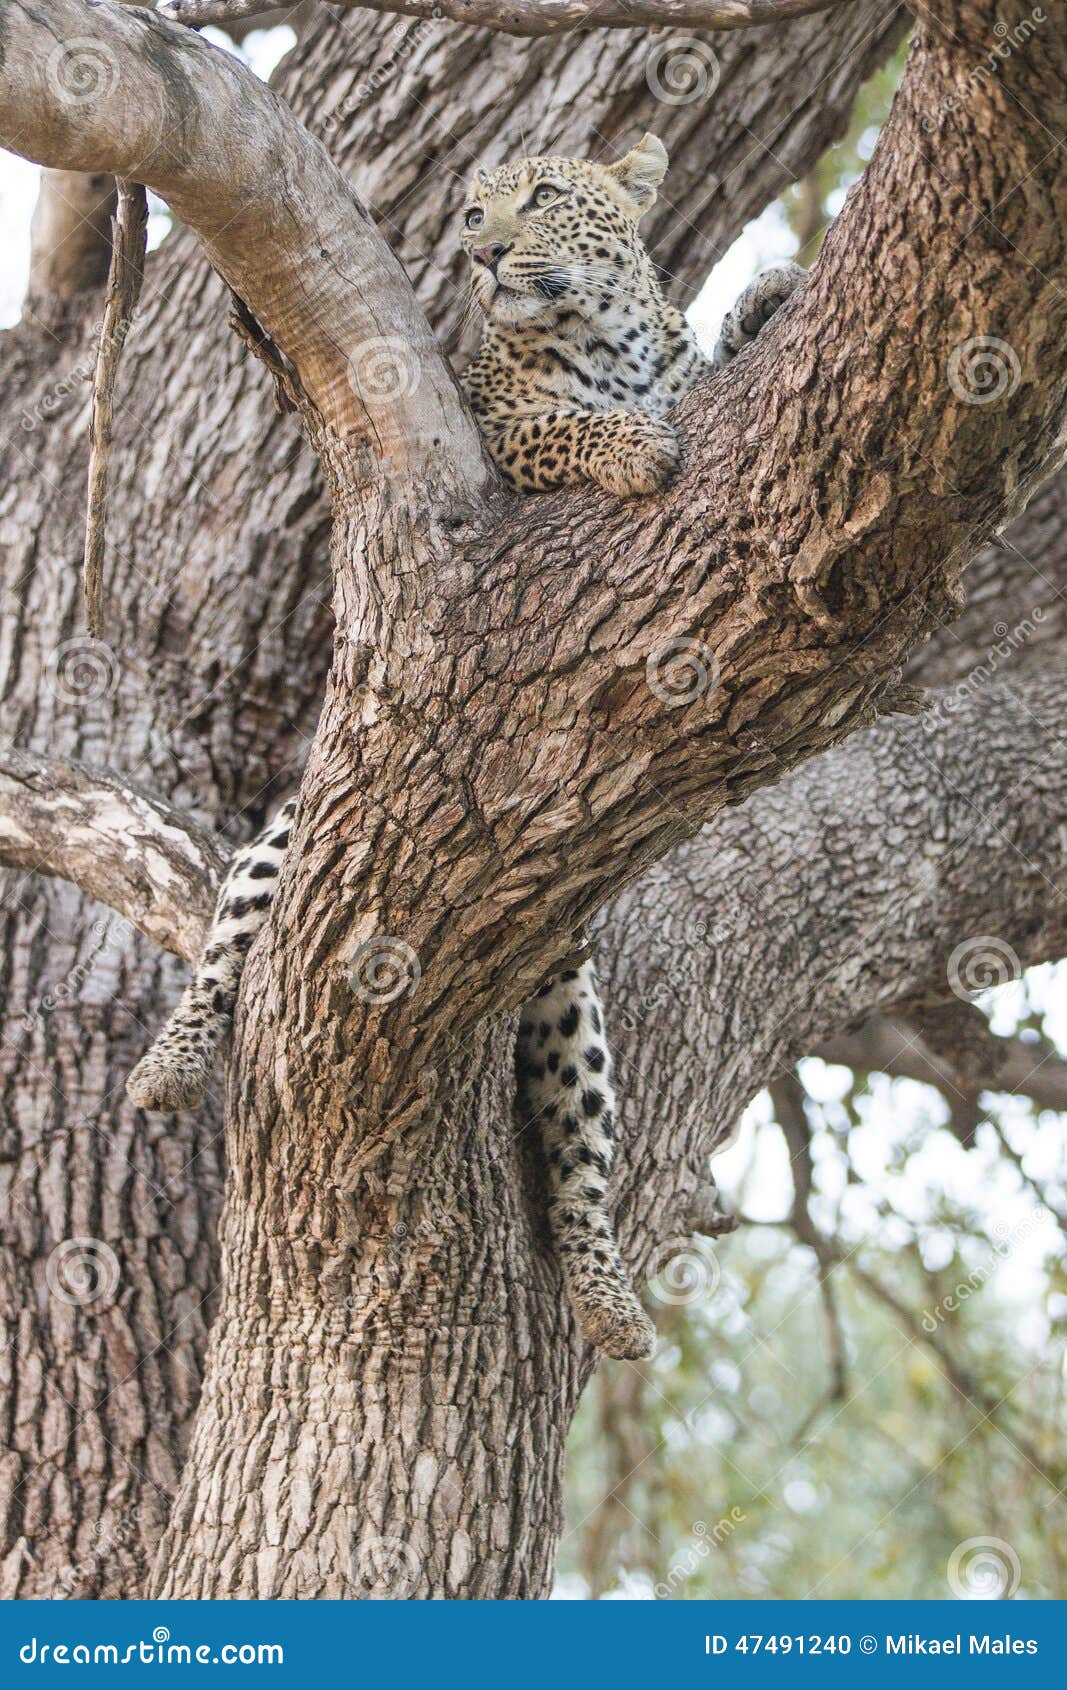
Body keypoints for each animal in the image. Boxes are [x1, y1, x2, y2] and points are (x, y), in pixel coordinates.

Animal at [125, 133, 805, 1363]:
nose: (482, 253)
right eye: (474, 211)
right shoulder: (495, 453)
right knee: (221, 953)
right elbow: (555, 427)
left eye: (540, 197)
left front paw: (763, 299)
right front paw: (629, 445)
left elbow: (708, 370)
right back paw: (169, 1064)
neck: (603, 336)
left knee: (578, 1162)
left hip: (573, 1002)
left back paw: (607, 1301)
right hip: (287, 840)